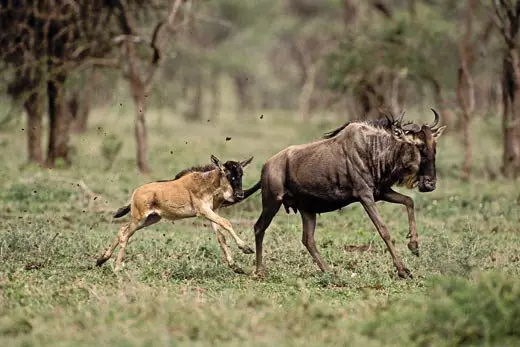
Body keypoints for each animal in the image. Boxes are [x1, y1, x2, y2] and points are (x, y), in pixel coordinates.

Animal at [96, 156, 255, 274]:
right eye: (227, 174)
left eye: (241, 174)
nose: (239, 195)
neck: (208, 183)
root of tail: (136, 192)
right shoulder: (203, 211)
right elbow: (227, 223)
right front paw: (245, 247)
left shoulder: (212, 212)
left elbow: (221, 237)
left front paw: (235, 266)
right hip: (139, 219)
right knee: (124, 234)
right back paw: (117, 267)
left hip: (149, 219)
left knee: (123, 230)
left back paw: (101, 260)